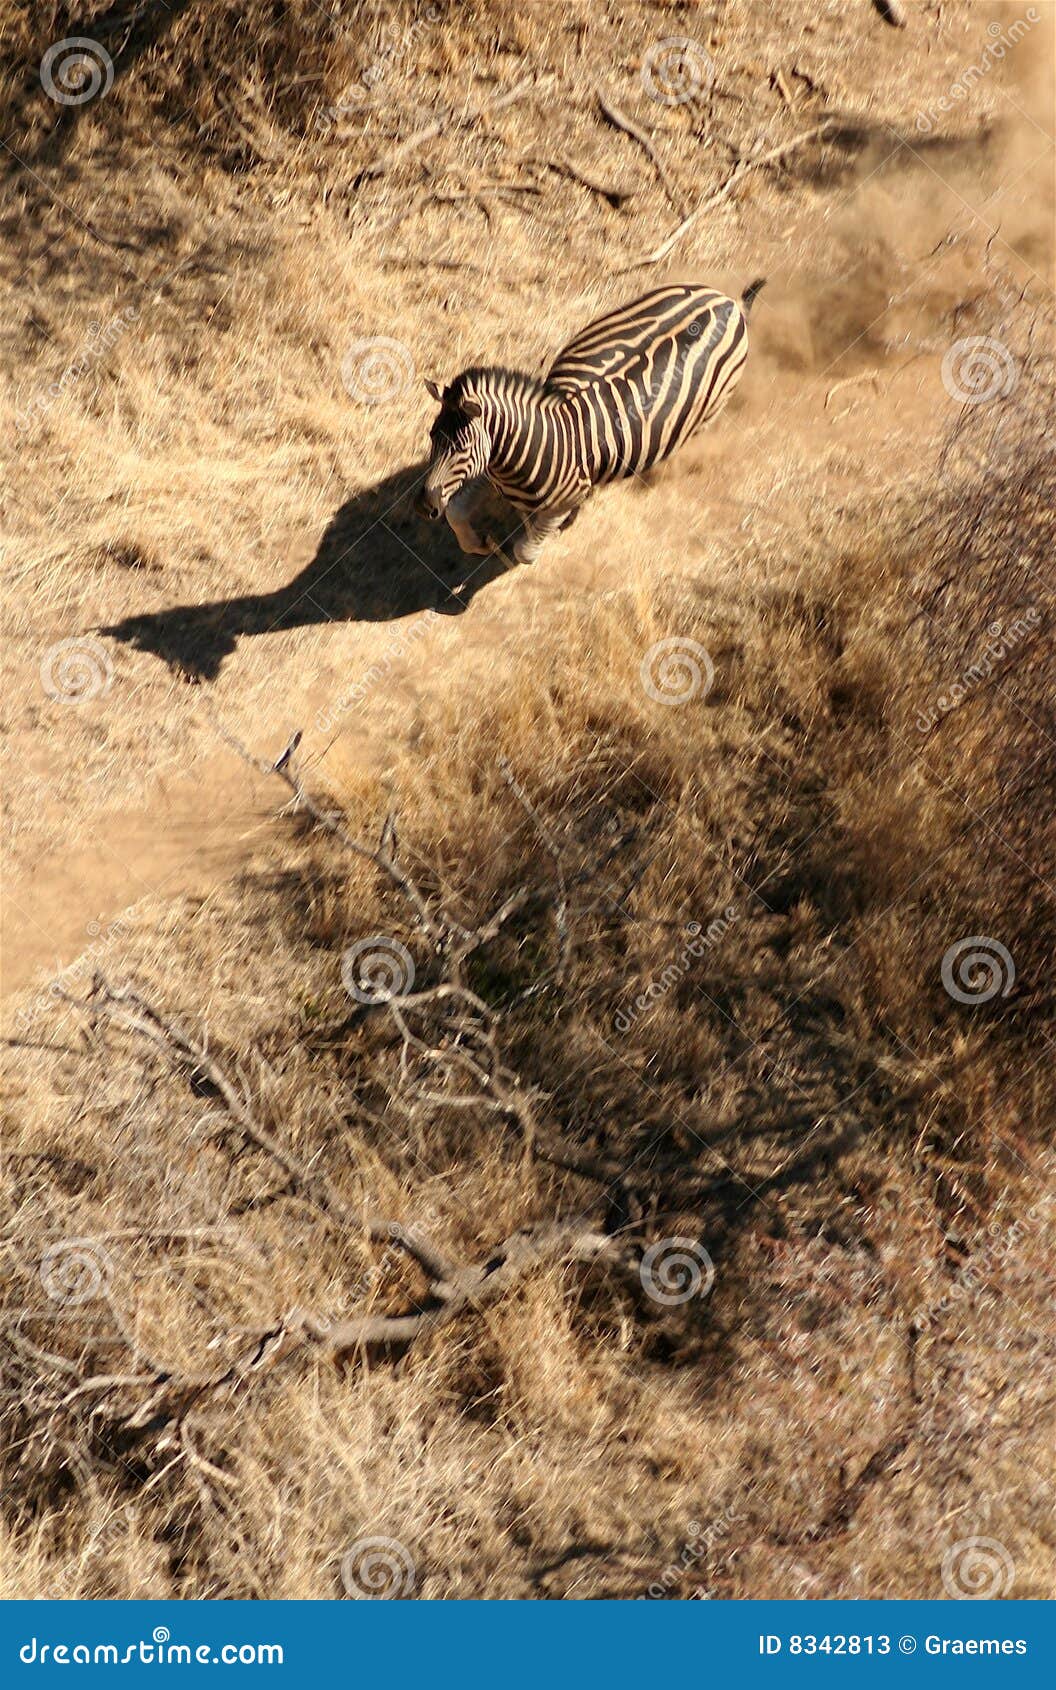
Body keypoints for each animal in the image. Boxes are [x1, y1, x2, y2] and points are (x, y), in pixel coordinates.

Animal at [417, 279, 765, 564]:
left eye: (462, 448)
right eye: (432, 437)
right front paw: (481, 543)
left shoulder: (557, 499)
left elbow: (525, 551)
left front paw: (535, 539)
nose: (425, 507)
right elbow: (457, 513)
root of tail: (728, 302)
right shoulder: (487, 468)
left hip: (712, 409)